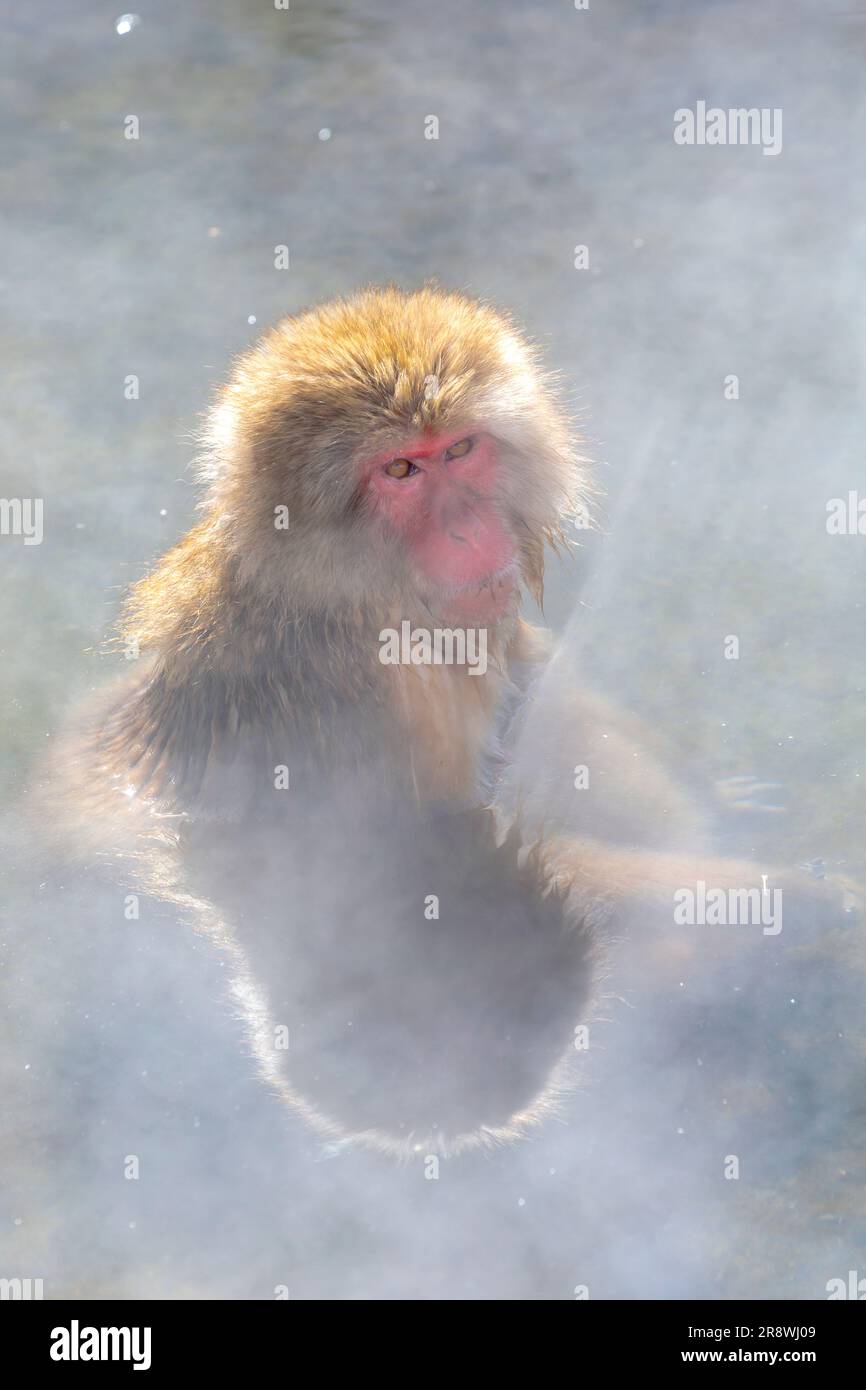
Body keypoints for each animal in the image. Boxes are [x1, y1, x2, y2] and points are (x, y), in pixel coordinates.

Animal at [33, 285, 860, 1158]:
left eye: (460, 449)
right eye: (400, 469)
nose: (467, 528)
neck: (357, 603)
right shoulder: (350, 712)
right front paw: (798, 904)